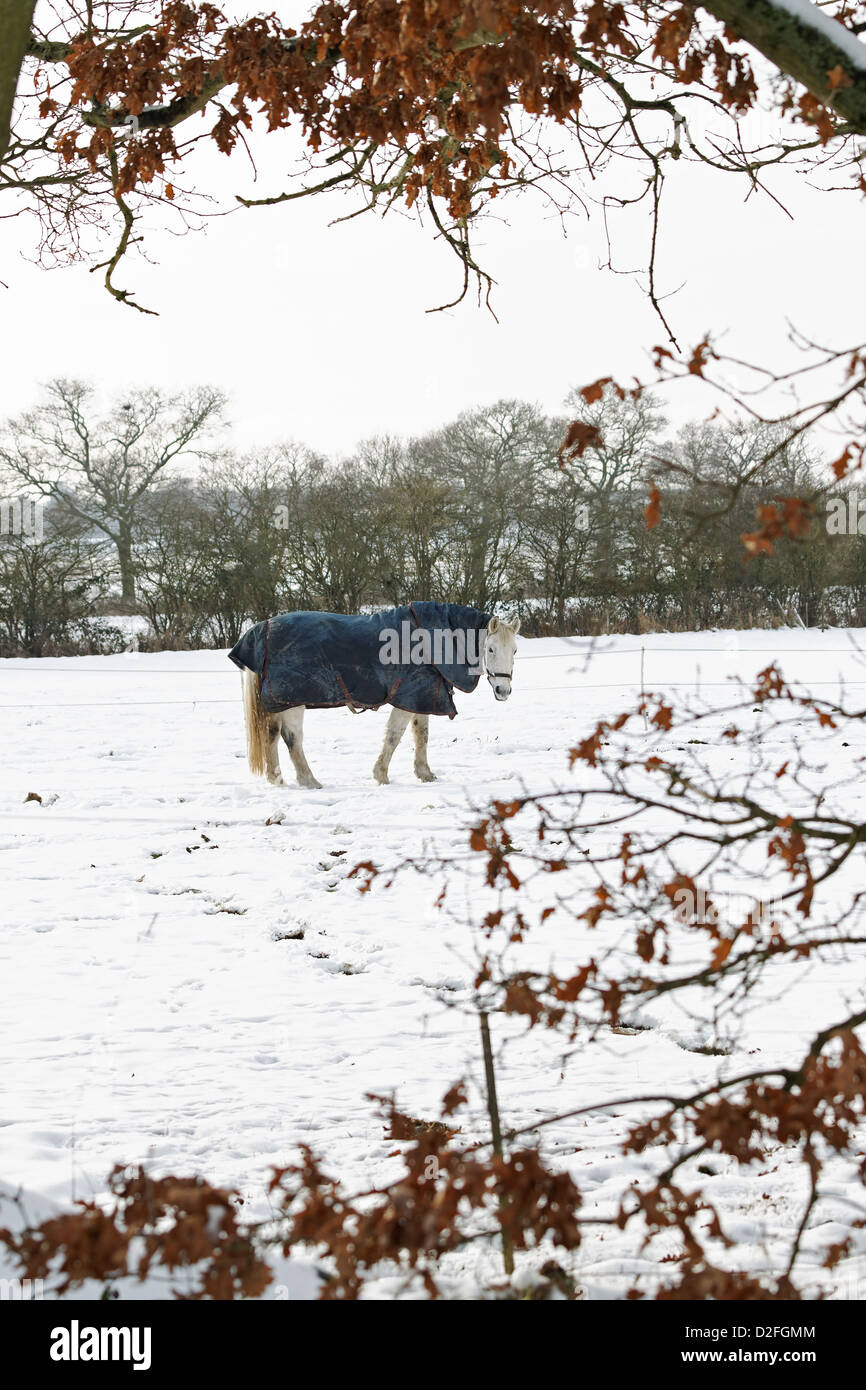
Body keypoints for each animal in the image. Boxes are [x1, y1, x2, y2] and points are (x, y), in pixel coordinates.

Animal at [229, 603, 520, 788]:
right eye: (490, 649)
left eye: (515, 650)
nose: (503, 691)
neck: (429, 643)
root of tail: (263, 629)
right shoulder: (406, 698)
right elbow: (394, 736)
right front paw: (381, 775)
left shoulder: (423, 696)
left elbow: (421, 735)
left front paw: (424, 773)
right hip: (293, 702)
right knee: (291, 739)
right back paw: (309, 780)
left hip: (280, 704)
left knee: (271, 735)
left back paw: (276, 778)